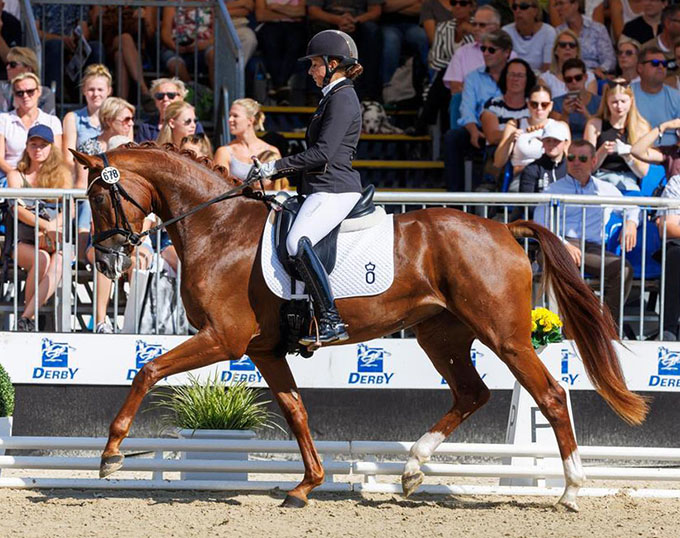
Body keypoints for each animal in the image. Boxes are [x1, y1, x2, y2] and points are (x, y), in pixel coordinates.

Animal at [72, 145, 648, 512]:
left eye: (98, 198)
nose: (106, 259)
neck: (219, 228)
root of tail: (504, 228)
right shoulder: (263, 349)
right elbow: (296, 410)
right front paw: (306, 486)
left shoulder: (223, 339)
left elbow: (148, 370)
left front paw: (111, 455)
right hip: (440, 334)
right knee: (471, 393)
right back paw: (413, 469)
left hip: (503, 335)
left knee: (549, 395)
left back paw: (570, 490)